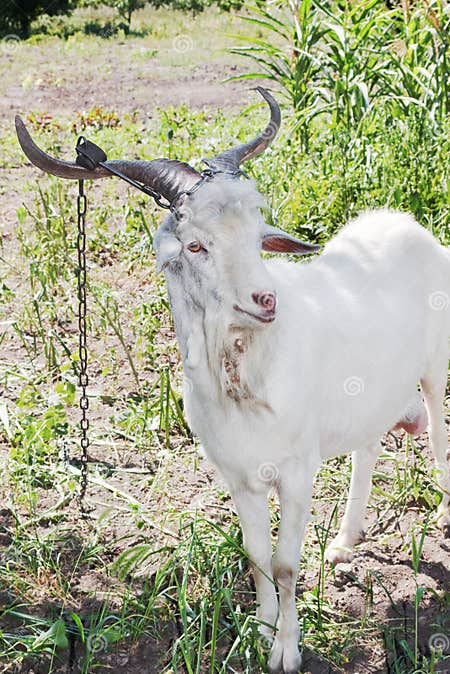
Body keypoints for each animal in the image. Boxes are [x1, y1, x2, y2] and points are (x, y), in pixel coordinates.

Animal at [16, 88, 450, 674]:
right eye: (196, 246)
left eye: (257, 237)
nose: (265, 299)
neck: (248, 376)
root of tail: (407, 224)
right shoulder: (238, 475)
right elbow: (257, 556)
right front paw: (263, 632)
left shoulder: (297, 469)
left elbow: (287, 565)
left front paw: (287, 651)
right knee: (369, 445)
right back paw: (344, 541)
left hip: (435, 366)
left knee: (439, 432)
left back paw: (442, 512)